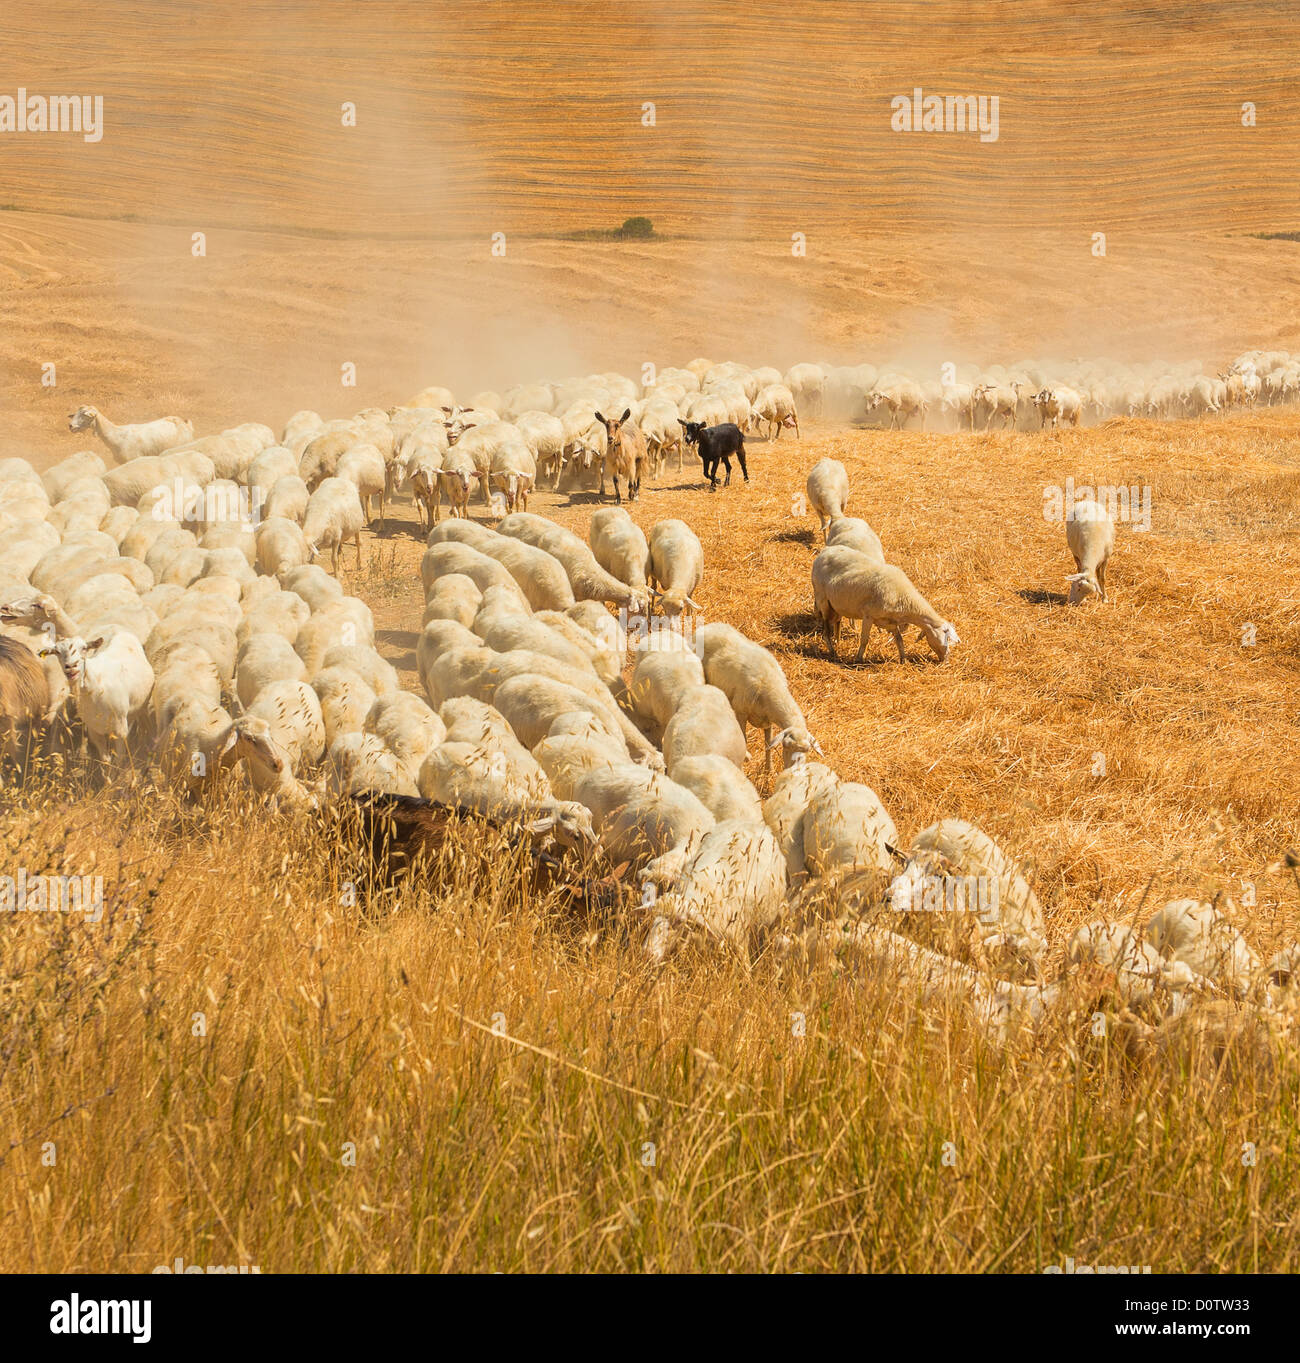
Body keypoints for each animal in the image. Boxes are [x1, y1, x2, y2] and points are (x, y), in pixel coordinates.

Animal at [694, 621, 822, 773]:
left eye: (807, 749)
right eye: (786, 746)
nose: (794, 770)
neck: (771, 684)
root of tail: (706, 627)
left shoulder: (768, 720)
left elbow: (768, 744)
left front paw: (768, 770)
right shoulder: (741, 712)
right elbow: (744, 740)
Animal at [812, 547, 959, 664]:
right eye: (947, 636)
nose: (947, 660)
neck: (905, 599)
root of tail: (825, 551)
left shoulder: (889, 622)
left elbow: (899, 640)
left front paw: (903, 660)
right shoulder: (868, 616)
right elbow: (864, 640)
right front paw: (859, 659)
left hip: (836, 604)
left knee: (837, 622)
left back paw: (837, 642)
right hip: (822, 599)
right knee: (826, 631)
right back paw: (832, 651)